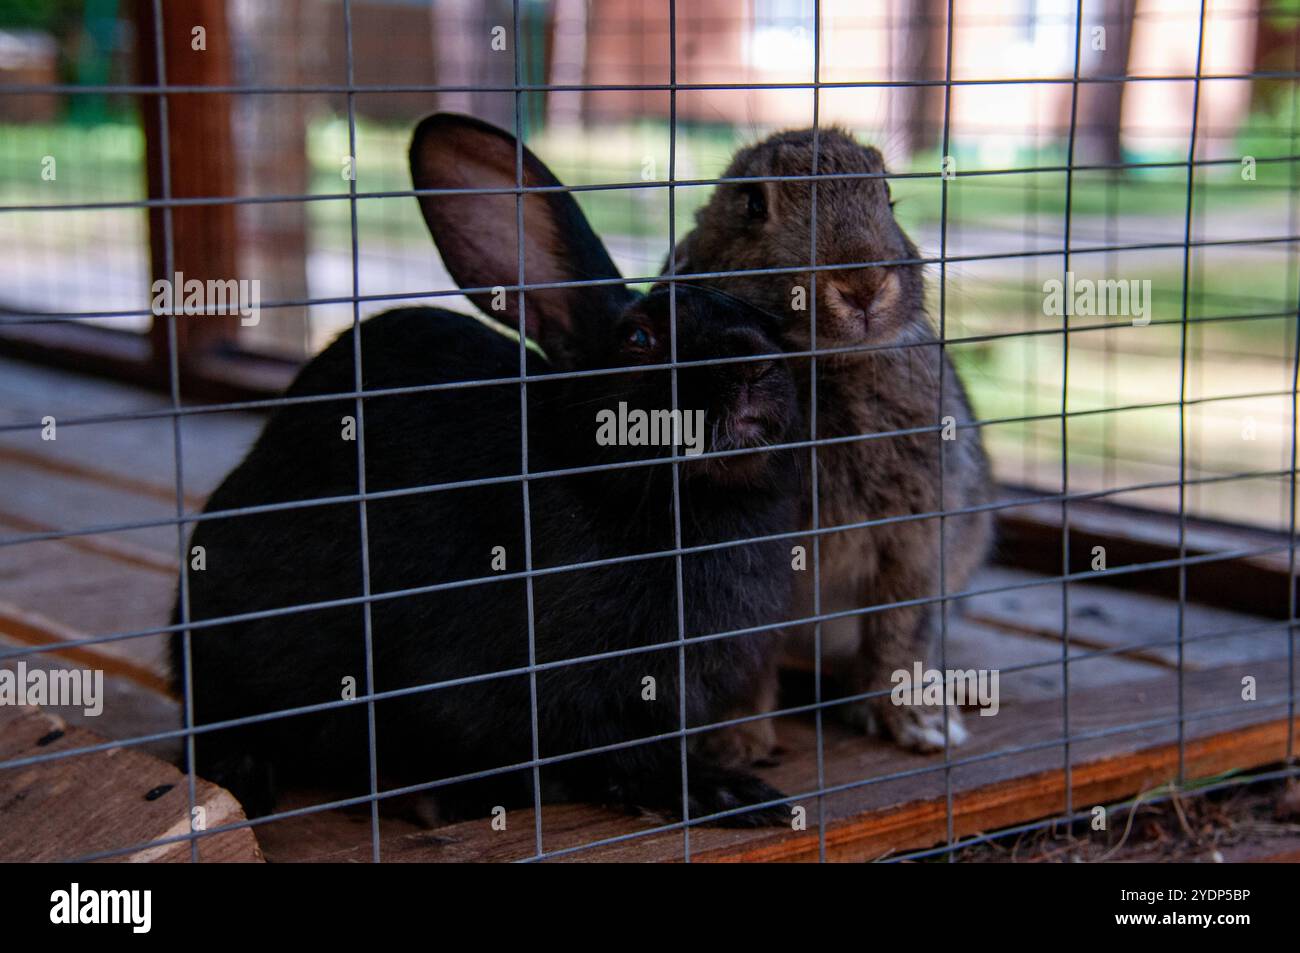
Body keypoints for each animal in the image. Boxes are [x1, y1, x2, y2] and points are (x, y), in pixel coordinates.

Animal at [662, 126, 994, 757]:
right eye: (752, 204)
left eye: (887, 196)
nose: (862, 285)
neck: (822, 366)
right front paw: (737, 740)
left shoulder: (915, 538)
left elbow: (899, 630)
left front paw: (918, 725)